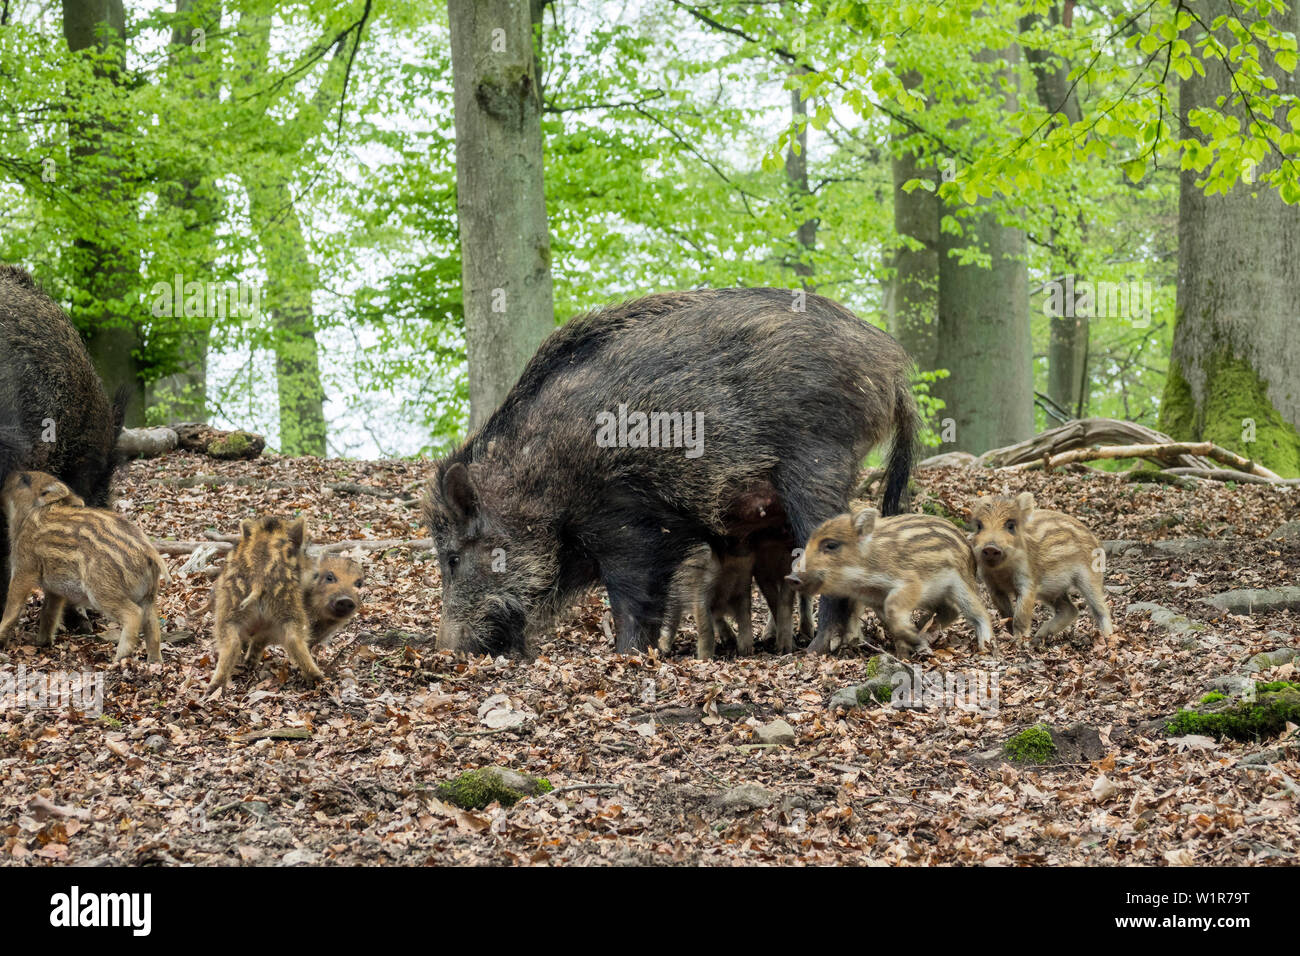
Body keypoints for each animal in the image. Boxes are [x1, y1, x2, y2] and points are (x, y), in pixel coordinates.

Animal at [0, 470, 168, 662]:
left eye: (25, 480)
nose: (8, 475)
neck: (26, 516)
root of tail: (149, 551)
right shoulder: (55, 589)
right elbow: (49, 613)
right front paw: (41, 642)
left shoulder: (24, 566)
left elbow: (12, 606)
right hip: (148, 596)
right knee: (152, 625)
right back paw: (154, 662)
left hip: (102, 590)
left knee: (134, 614)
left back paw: (119, 658)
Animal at [207, 516, 321, 694]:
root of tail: (259, 580)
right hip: (290, 608)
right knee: (294, 638)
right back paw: (319, 677)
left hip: (230, 612)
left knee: (232, 642)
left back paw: (214, 687)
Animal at [425, 288, 917, 657]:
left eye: (452, 558)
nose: (445, 648)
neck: (544, 482)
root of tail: (891, 363)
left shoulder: (627, 523)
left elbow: (631, 599)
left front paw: (626, 655)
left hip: (815, 463)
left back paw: (818, 649)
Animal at [787, 508, 995, 658]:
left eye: (831, 545)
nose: (791, 578)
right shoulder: (876, 599)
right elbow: (891, 622)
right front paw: (907, 652)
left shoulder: (911, 582)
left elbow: (893, 609)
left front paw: (917, 644)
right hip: (935, 595)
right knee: (951, 610)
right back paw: (924, 627)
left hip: (962, 584)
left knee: (979, 612)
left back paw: (986, 646)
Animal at [969, 492, 1112, 646]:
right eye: (979, 526)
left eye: (1011, 525)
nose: (990, 547)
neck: (1002, 571)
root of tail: (1097, 540)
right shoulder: (993, 587)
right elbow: (1007, 614)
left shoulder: (1027, 582)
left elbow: (1020, 616)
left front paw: (1019, 643)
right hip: (1052, 590)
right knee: (1069, 610)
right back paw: (1038, 638)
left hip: (1090, 578)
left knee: (1101, 609)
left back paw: (1108, 637)